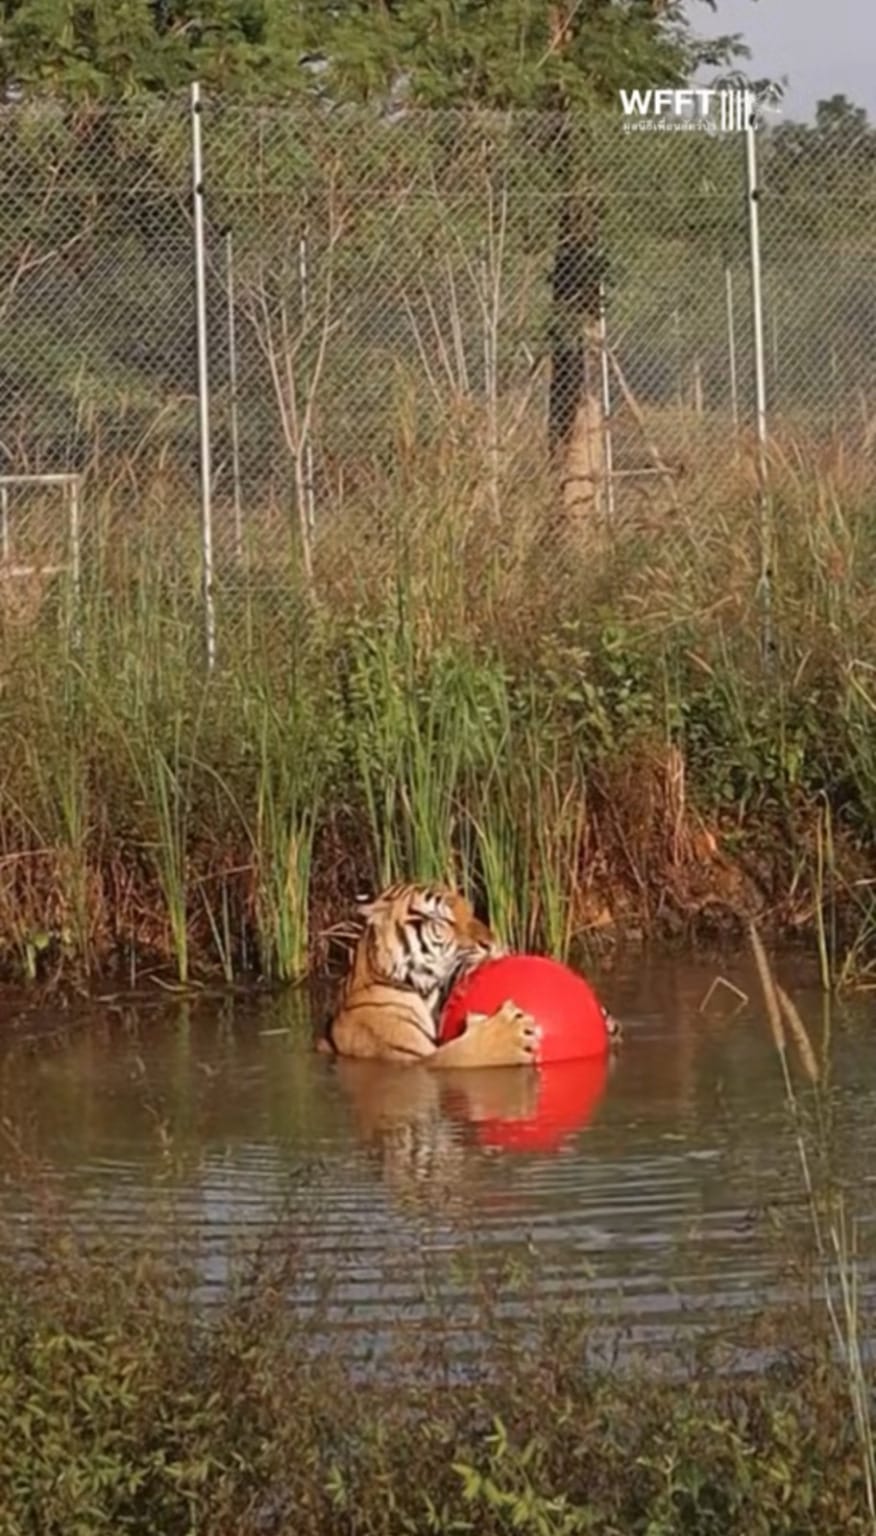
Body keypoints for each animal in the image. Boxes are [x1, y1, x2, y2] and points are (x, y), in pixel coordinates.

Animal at [320, 880, 540, 1068]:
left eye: (470, 911)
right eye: (445, 921)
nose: (491, 943)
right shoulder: (415, 1060)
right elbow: (461, 1053)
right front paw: (512, 1033)